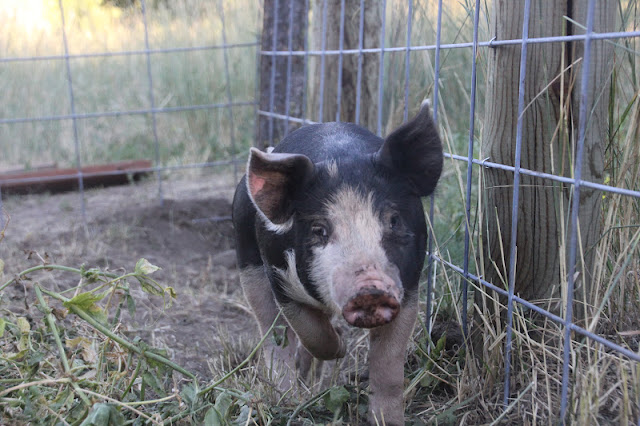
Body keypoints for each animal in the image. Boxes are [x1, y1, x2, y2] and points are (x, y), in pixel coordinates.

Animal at [232, 101, 443, 425]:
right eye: (319, 230)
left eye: (393, 220)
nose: (370, 287)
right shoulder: (280, 279)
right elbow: (309, 331)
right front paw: (341, 346)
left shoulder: (408, 287)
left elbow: (389, 363)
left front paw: (387, 419)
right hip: (249, 263)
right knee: (272, 333)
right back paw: (285, 395)